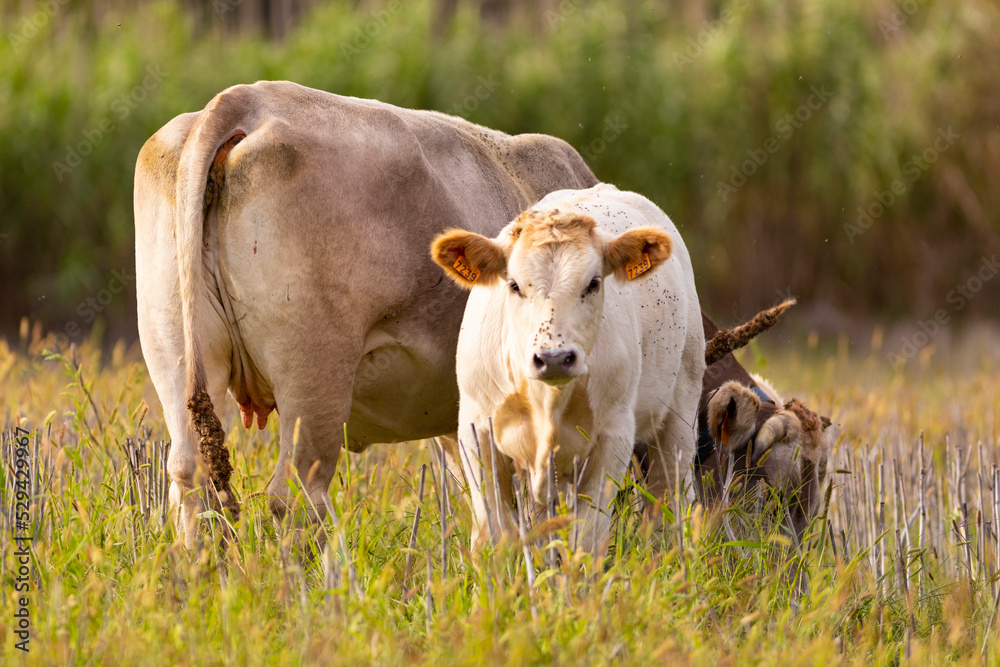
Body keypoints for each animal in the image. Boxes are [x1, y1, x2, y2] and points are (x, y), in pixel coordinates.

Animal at [430, 184, 705, 554]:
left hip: (680, 412)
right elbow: (496, 531)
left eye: (593, 283)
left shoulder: (614, 436)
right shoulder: (477, 431)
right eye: (514, 284)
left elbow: (587, 536)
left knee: (669, 498)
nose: (555, 357)